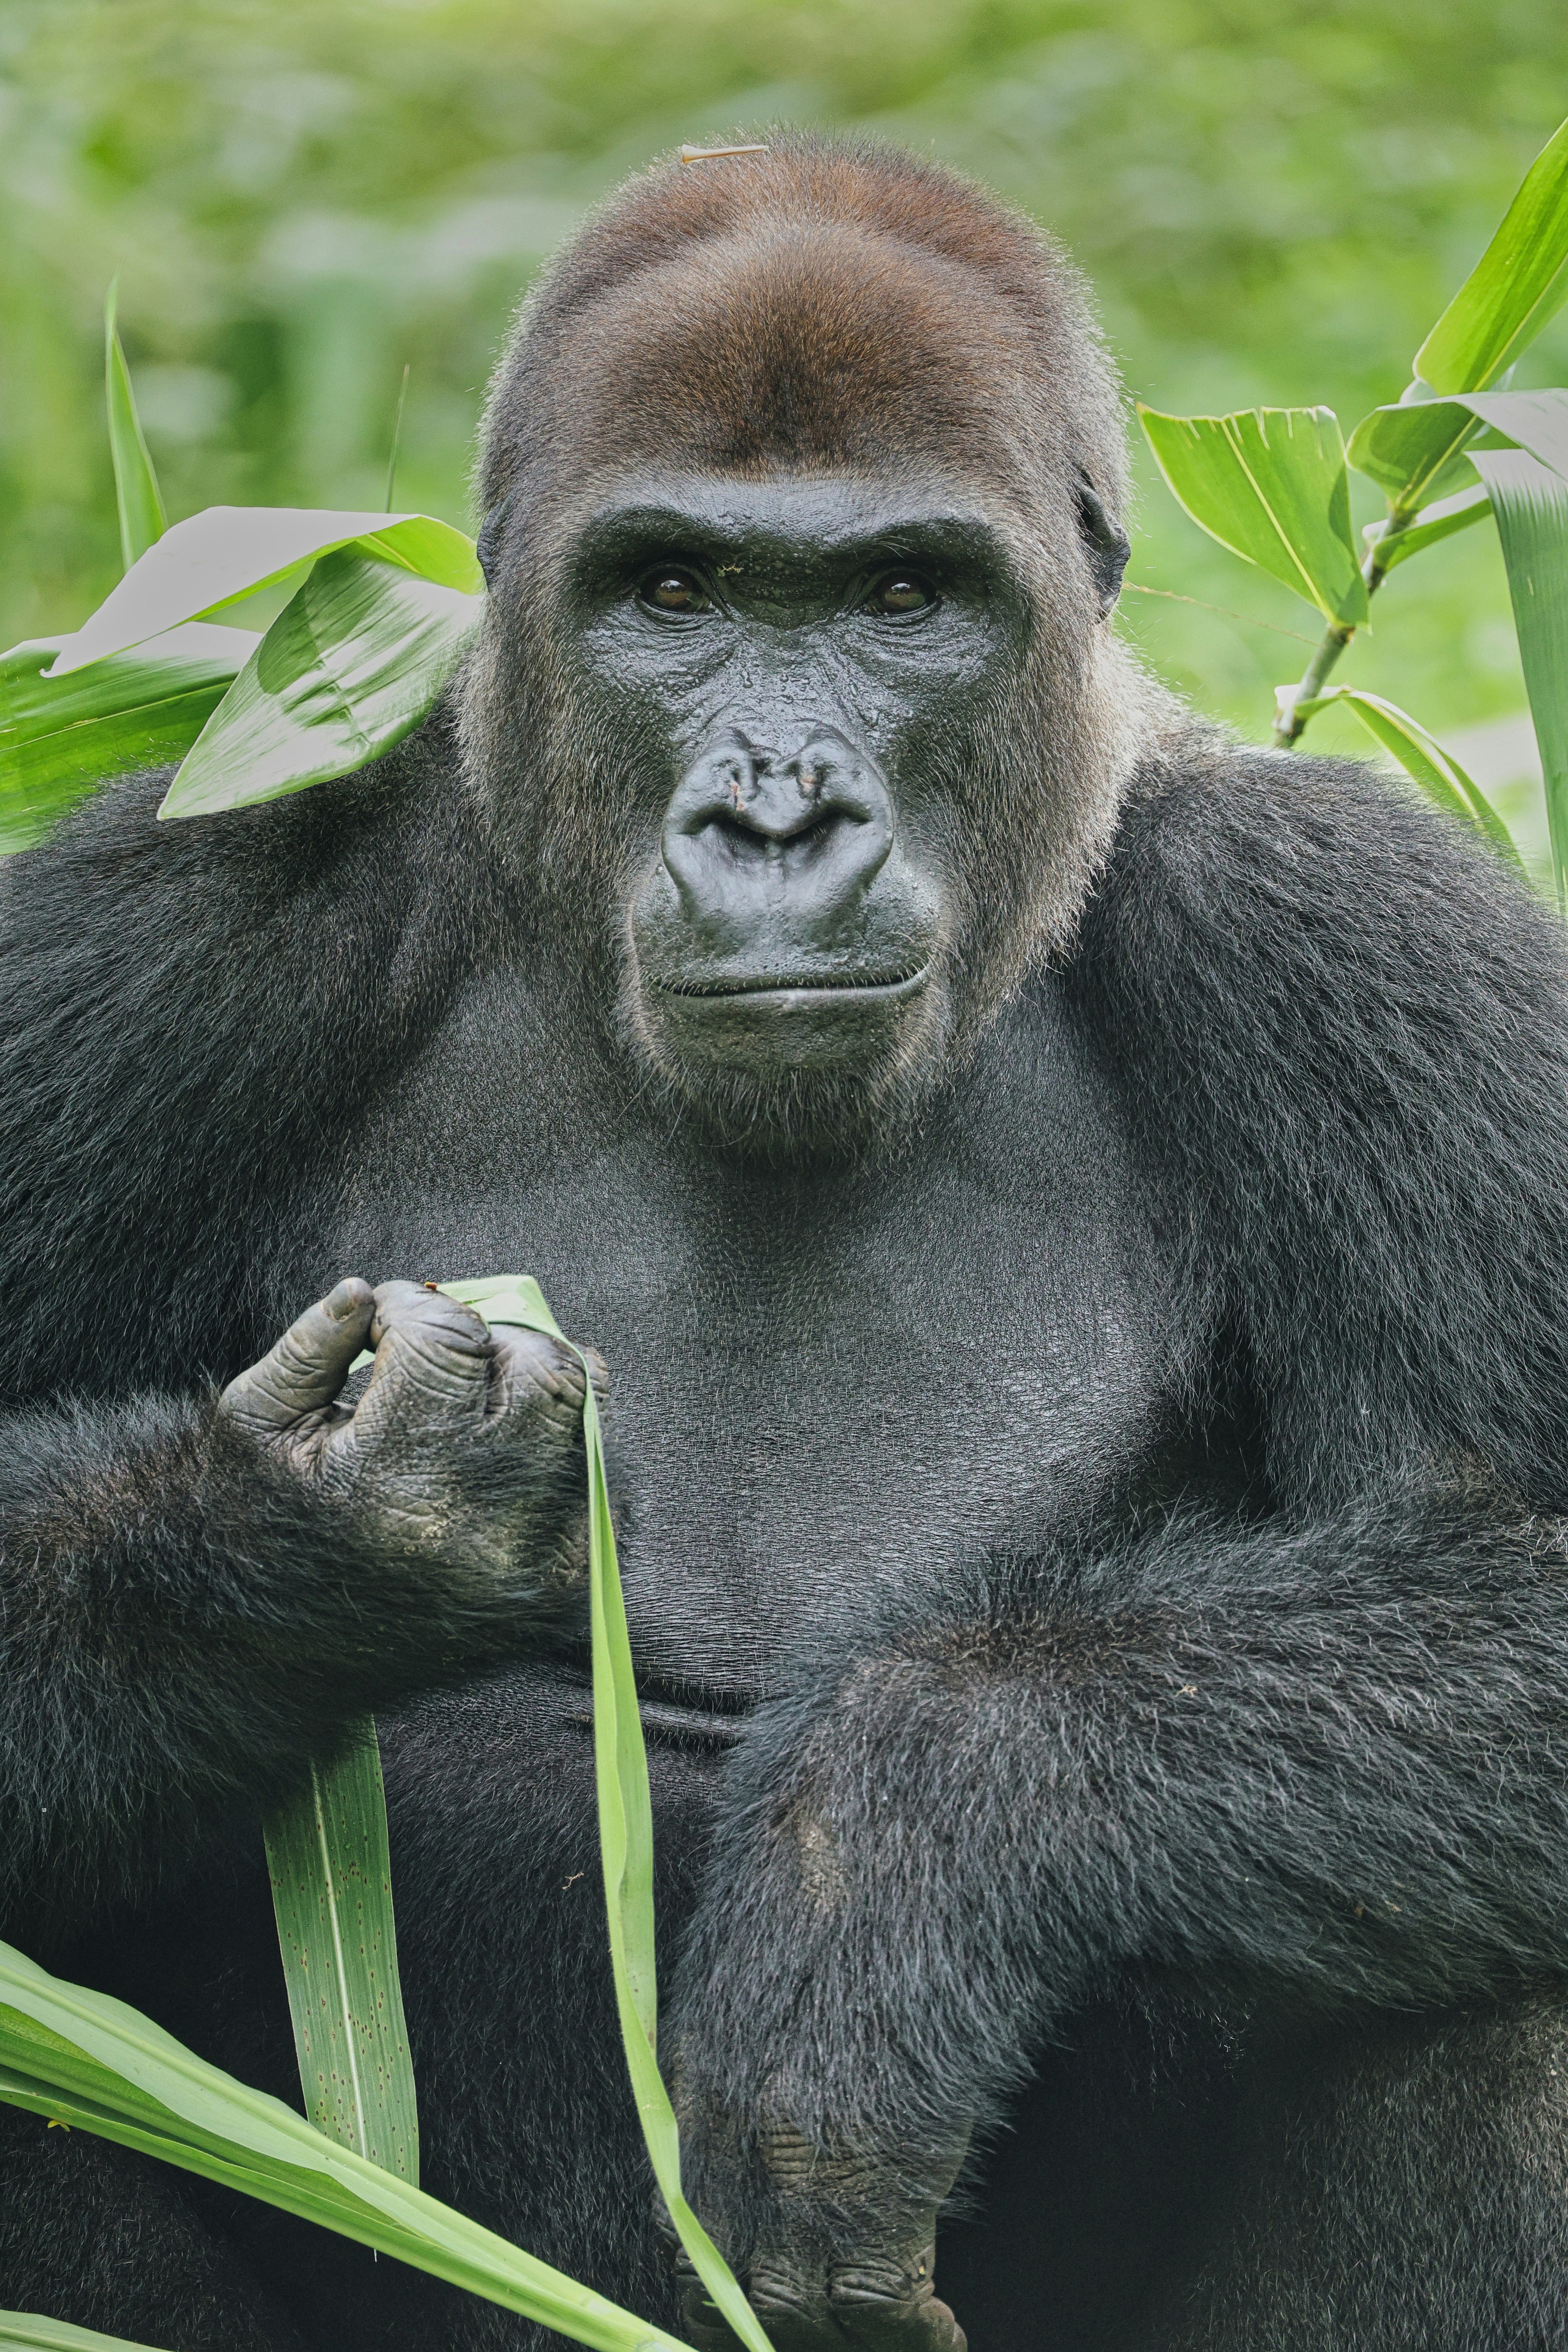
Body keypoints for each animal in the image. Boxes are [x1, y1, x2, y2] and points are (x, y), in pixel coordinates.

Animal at [5, 130, 1568, 2352]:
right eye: (672, 593)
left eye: (899, 597)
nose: (773, 817)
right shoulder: (177, 918)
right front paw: (312, 1523)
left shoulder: (1339, 921)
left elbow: (1526, 1561)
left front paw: (898, 1834)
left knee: (1487, 1996)